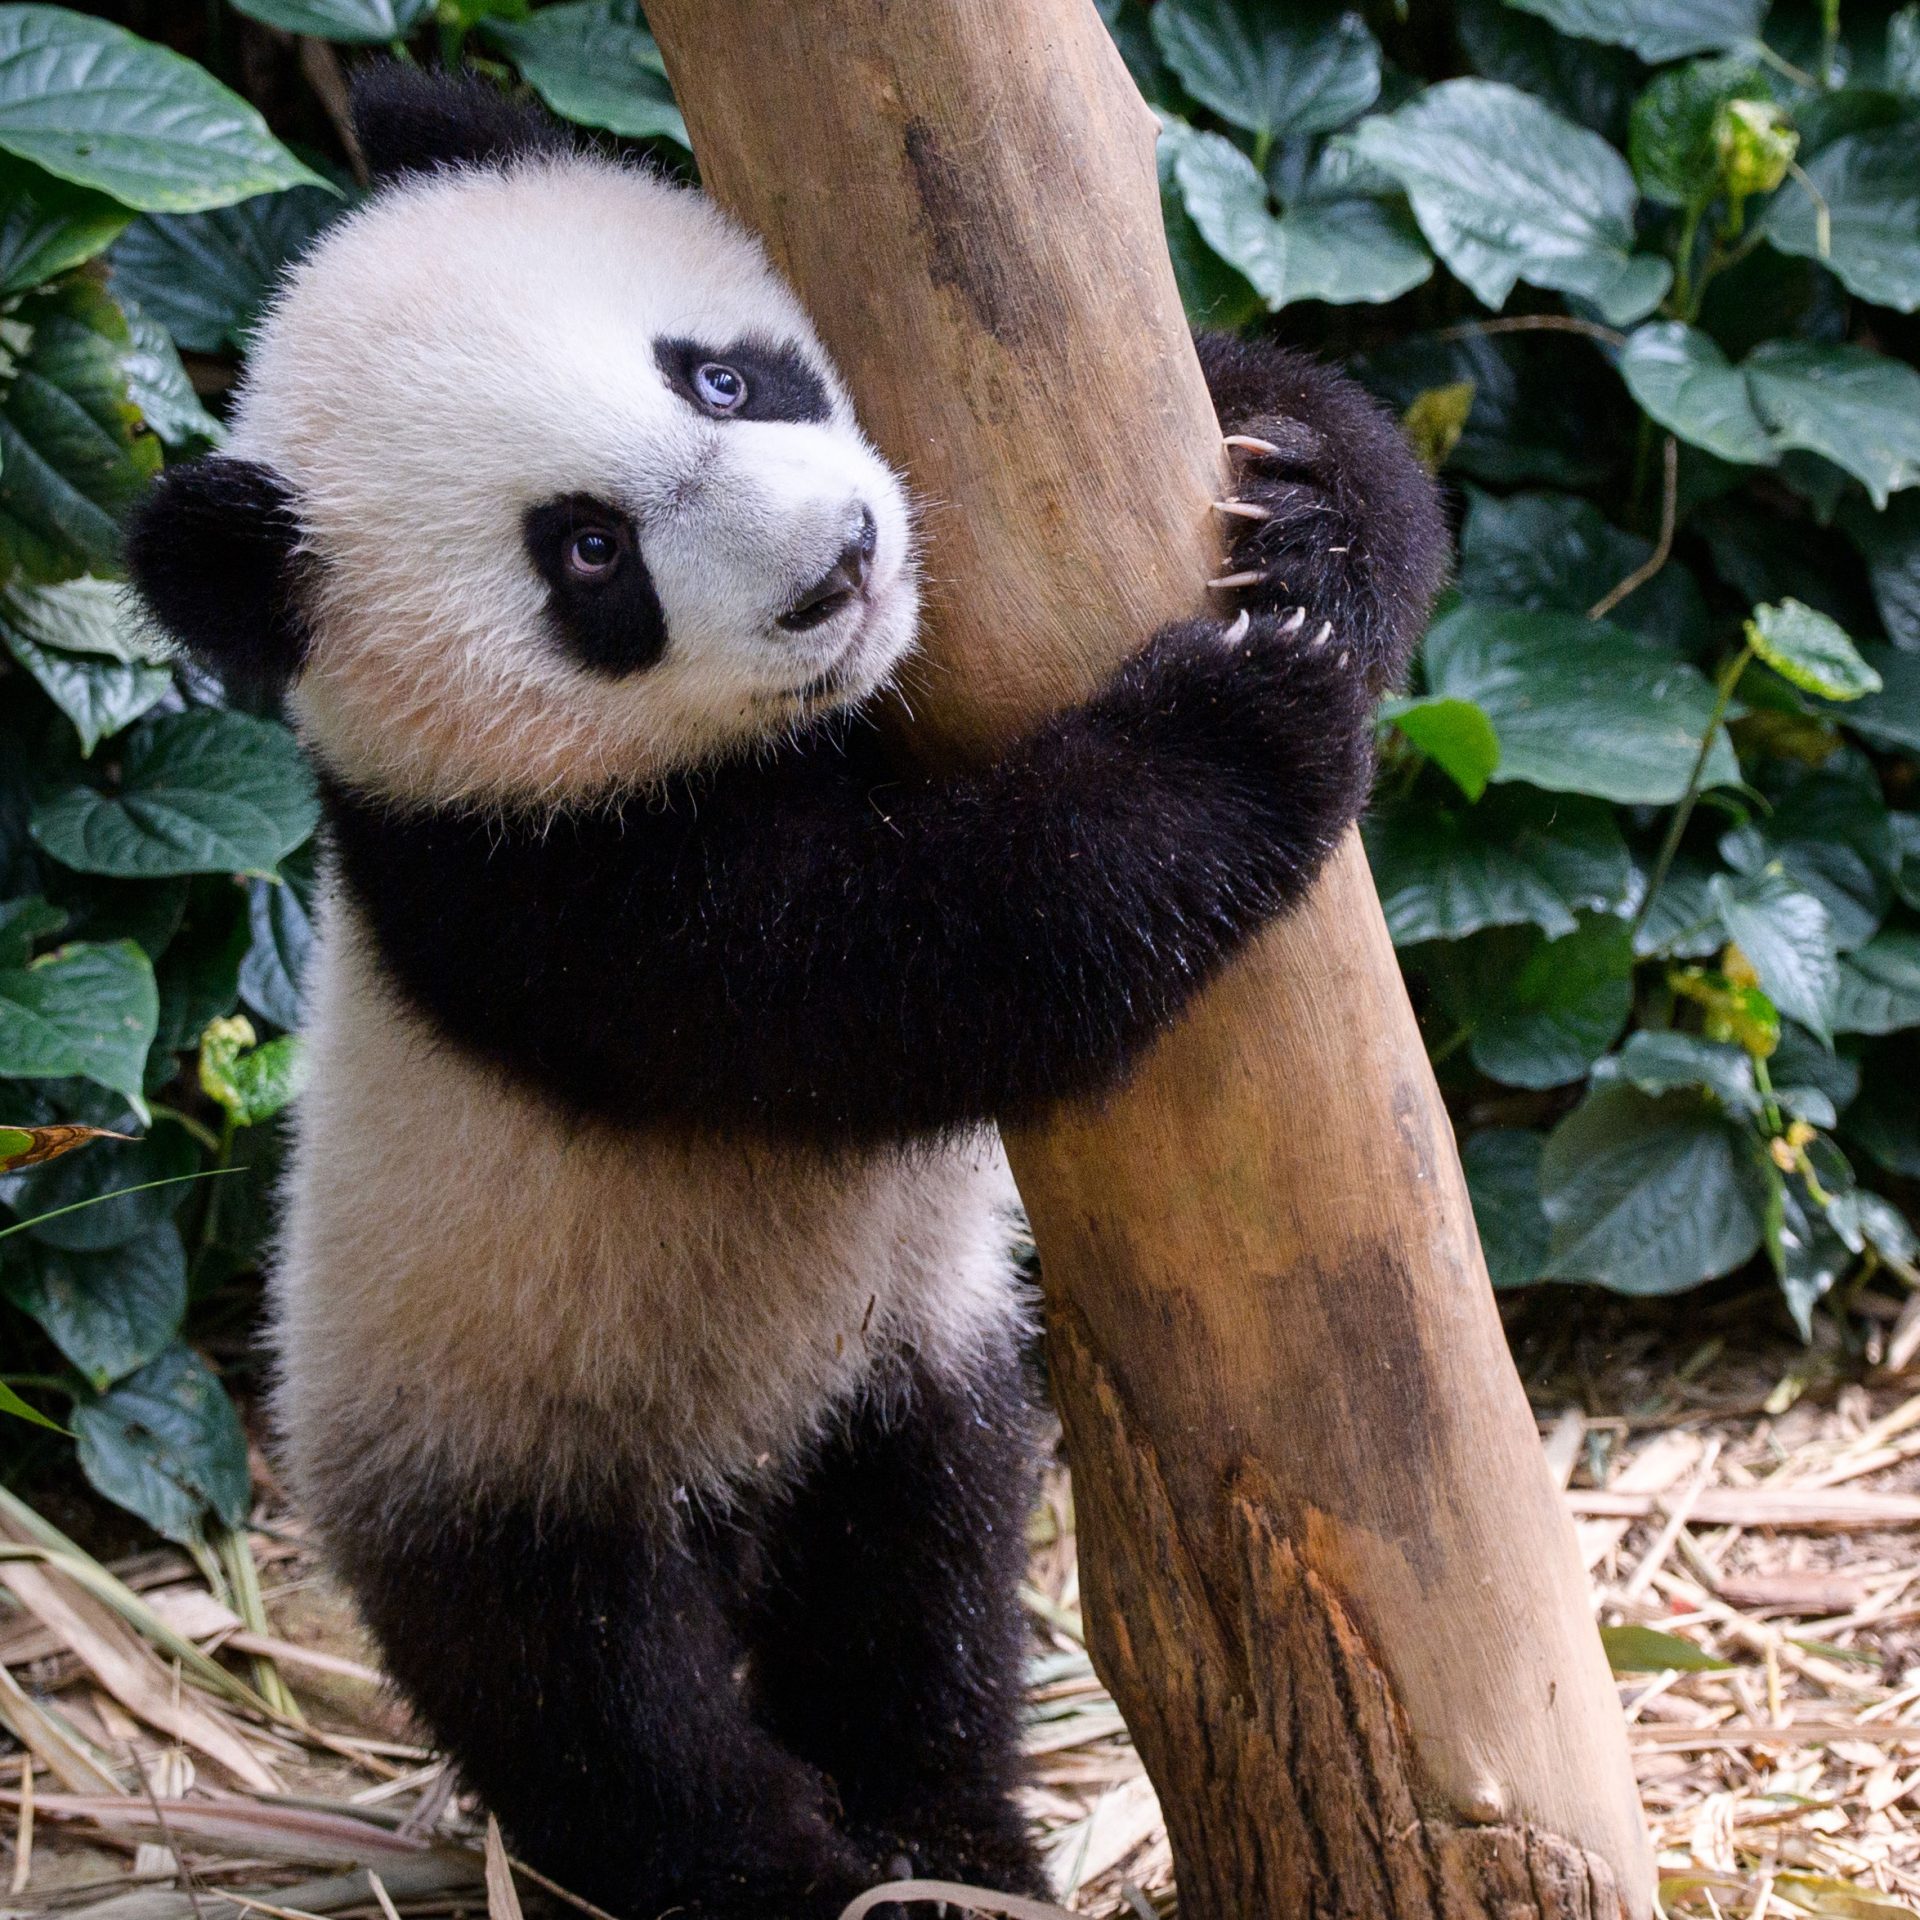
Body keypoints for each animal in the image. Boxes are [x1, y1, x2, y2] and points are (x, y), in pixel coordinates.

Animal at [126, 65, 1445, 1920]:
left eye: (721, 375)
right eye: (587, 555)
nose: (843, 561)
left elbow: (1297, 417)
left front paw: (1308, 518)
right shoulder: (530, 898)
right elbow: (920, 969)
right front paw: (1251, 726)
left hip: (897, 1355)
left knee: (920, 1576)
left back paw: (946, 1839)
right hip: (482, 1421)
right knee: (600, 1702)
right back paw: (790, 1872)